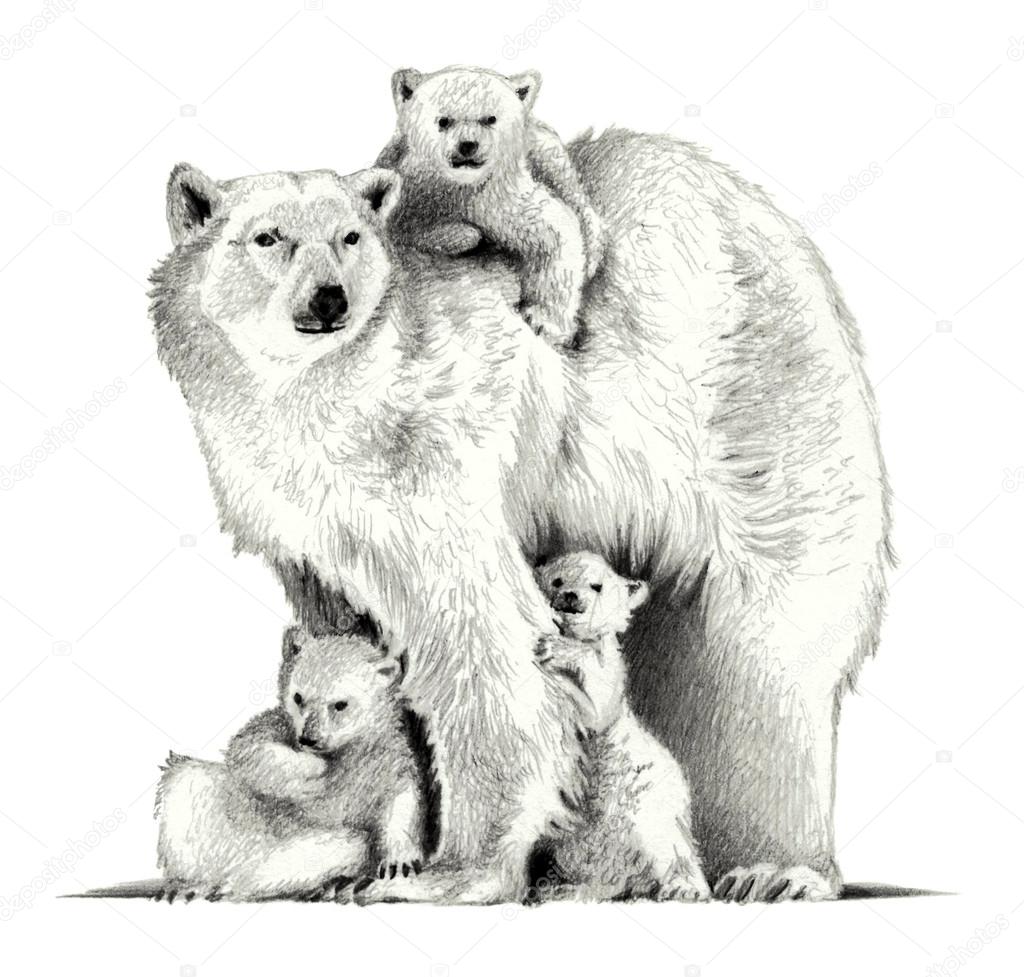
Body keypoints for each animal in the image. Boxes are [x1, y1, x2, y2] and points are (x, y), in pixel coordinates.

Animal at [154, 627, 422, 902]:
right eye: (298, 697)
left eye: (340, 704)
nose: (308, 738)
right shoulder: (279, 725)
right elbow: (250, 748)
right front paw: (313, 775)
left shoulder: (383, 755)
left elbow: (401, 795)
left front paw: (399, 860)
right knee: (188, 783)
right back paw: (194, 883)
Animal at [376, 65, 604, 346]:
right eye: (444, 121)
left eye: (490, 119)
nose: (467, 145)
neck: (462, 185)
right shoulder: (412, 186)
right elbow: (402, 226)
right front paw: (463, 234)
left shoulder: (501, 194)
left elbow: (557, 229)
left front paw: (546, 323)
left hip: (545, 149)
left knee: (572, 191)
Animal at [533, 552, 709, 902]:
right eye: (558, 580)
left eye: (596, 585)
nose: (571, 597)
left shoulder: (611, 677)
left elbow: (597, 706)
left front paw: (555, 650)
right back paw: (568, 888)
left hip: (646, 802)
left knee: (666, 844)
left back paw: (683, 887)